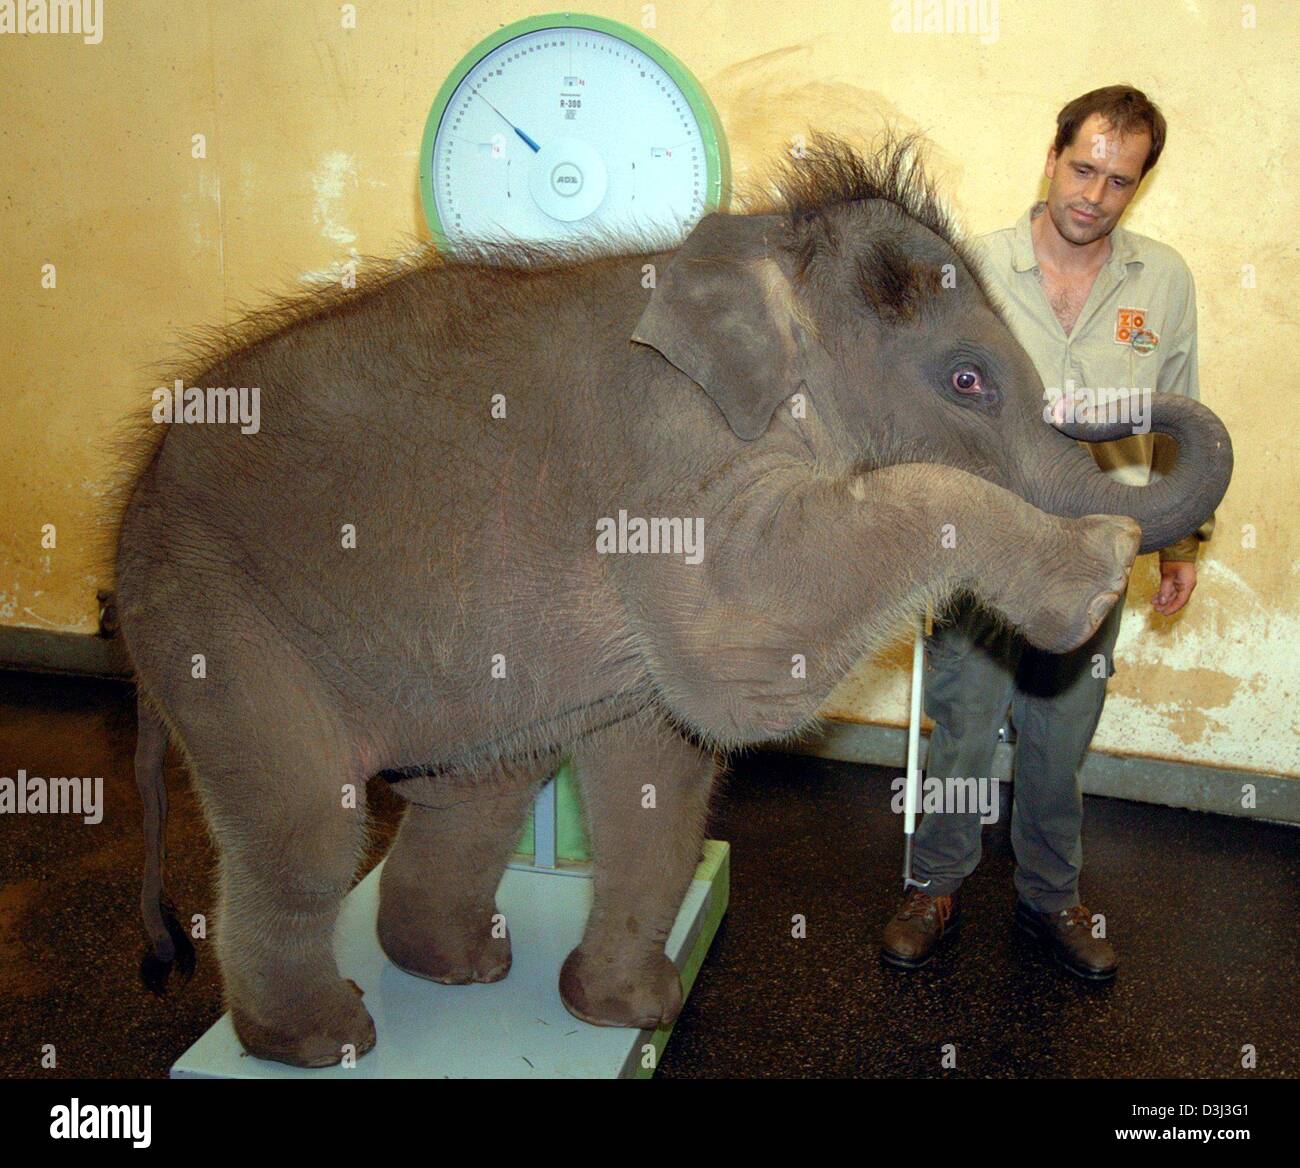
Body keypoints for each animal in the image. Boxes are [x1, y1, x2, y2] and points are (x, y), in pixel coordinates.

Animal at [114, 131, 1231, 1067]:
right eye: (966, 380)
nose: (1132, 403)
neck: (760, 248)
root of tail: (126, 524)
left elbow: (665, 770)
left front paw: (634, 1010)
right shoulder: (667, 459)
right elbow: (732, 666)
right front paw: (1100, 565)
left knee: (478, 788)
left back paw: (468, 966)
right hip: (211, 614)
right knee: (305, 826)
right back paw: (323, 1039)